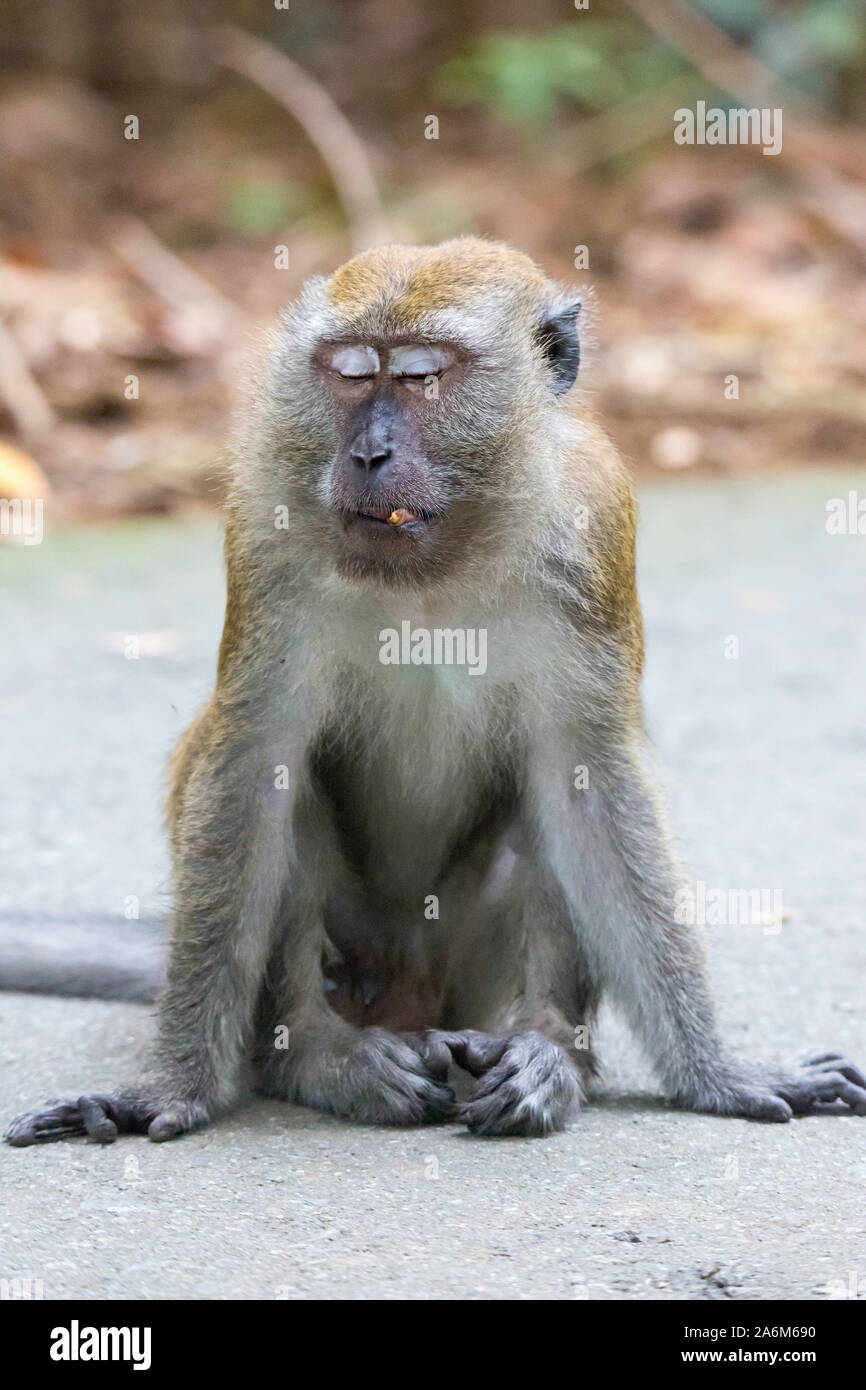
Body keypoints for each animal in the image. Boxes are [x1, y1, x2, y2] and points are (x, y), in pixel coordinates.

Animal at [5, 236, 866, 1146]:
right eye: (351, 375)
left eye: (422, 378)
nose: (367, 455)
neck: (434, 564)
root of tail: (414, 1001)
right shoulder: (264, 524)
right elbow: (250, 767)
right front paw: (169, 1086)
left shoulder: (596, 523)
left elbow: (590, 781)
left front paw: (719, 1075)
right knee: (291, 793)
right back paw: (321, 1053)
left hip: (462, 982)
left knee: (542, 812)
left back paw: (543, 1050)